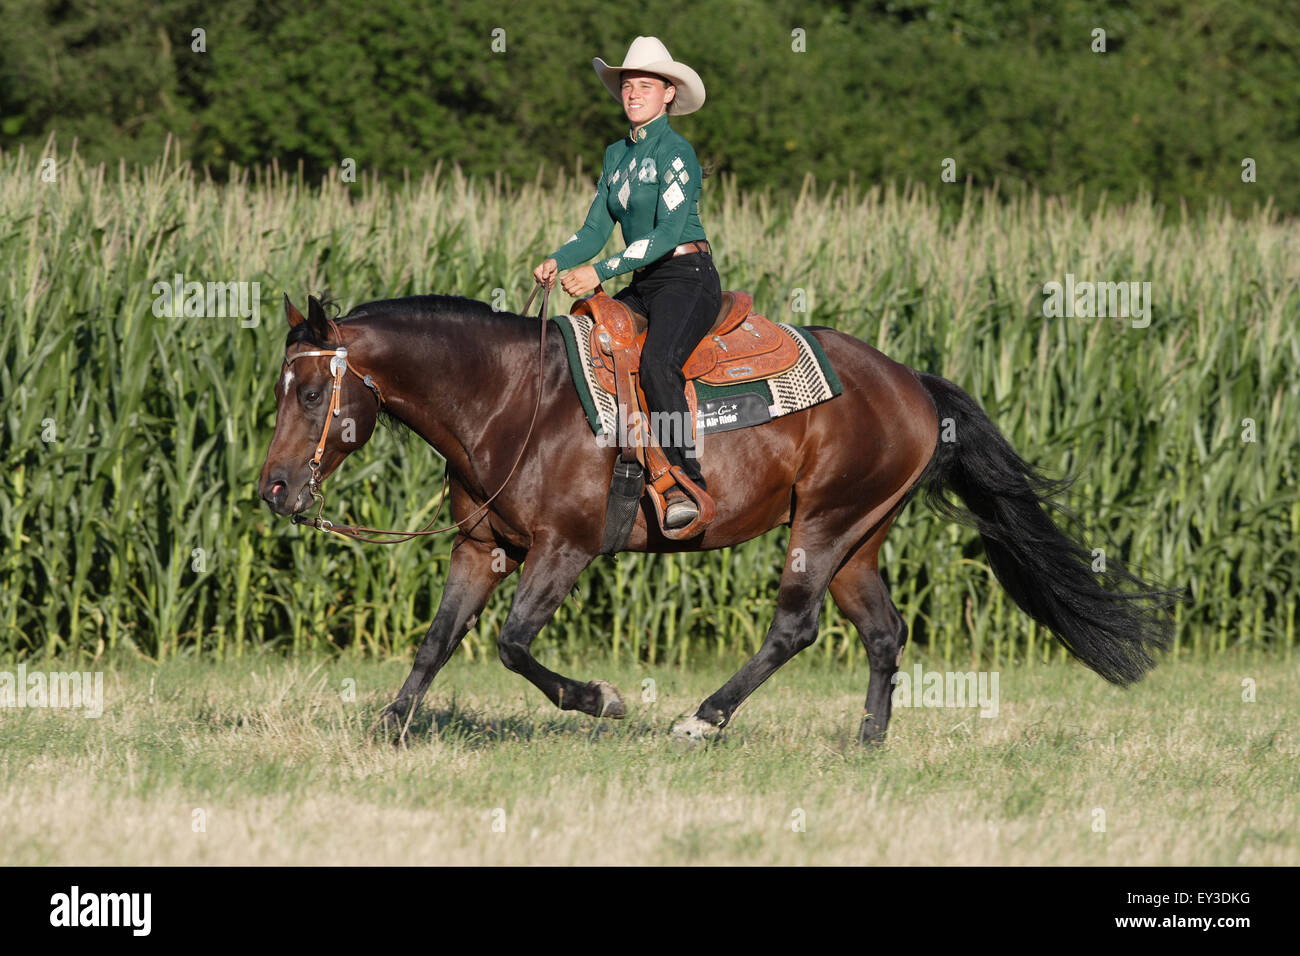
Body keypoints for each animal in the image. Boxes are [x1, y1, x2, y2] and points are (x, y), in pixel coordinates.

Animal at [258, 291, 1178, 744]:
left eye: (307, 392)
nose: (272, 489)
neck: (514, 402)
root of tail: (912, 384)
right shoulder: (482, 548)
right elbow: (438, 640)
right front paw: (390, 727)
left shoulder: (564, 551)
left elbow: (512, 646)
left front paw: (601, 700)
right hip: (859, 539)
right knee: (883, 633)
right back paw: (867, 743)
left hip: (822, 527)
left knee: (794, 629)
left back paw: (701, 720)